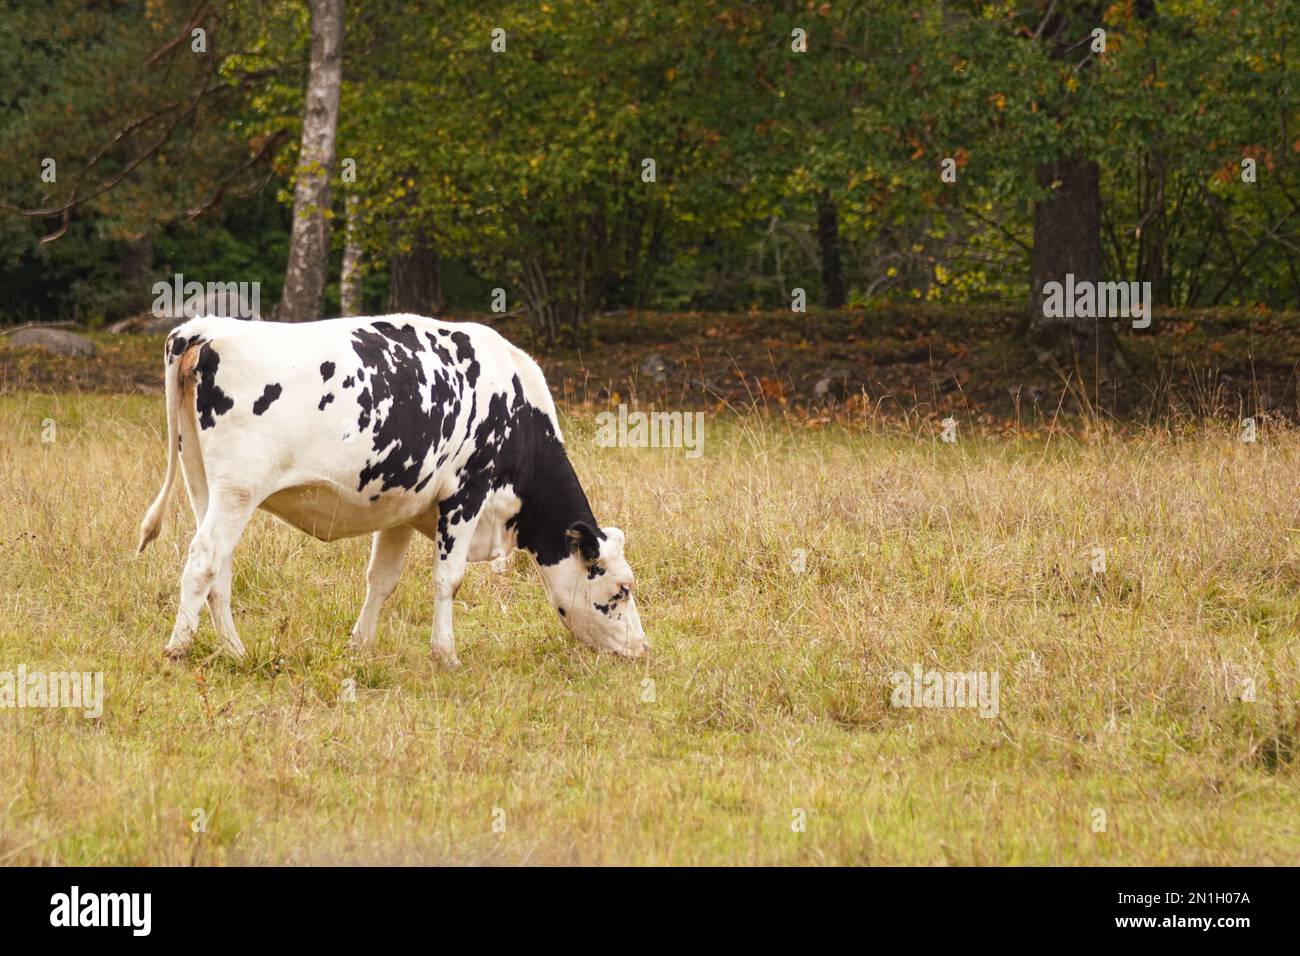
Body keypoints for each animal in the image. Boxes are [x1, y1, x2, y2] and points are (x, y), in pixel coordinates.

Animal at [137, 314, 648, 667]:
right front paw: (446, 655)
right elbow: (448, 579)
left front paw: (359, 646)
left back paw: (235, 650)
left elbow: (381, 579)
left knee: (218, 567)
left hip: (203, 481)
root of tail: (206, 329)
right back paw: (178, 649)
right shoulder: (467, 493)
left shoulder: (404, 504)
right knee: (203, 558)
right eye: (621, 588)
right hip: (238, 488)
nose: (642, 647)